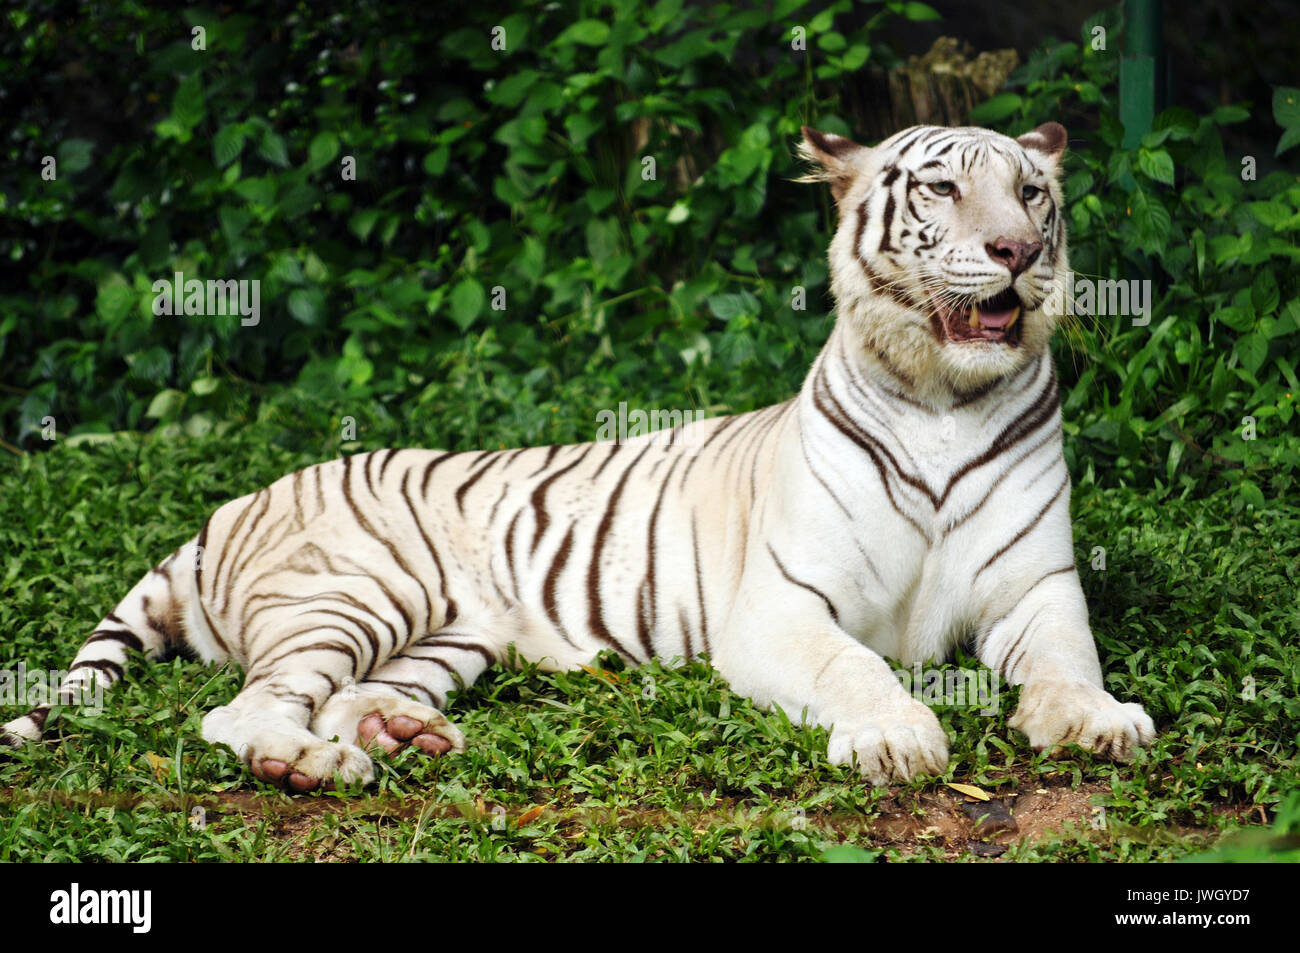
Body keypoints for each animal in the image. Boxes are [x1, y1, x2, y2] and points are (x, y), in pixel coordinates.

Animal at [4, 121, 1155, 791]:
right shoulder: (782, 606)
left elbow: (1069, 660)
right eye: (941, 192)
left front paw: (1099, 722)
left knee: (340, 694)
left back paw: (402, 739)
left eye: (1033, 193)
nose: (1017, 251)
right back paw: (313, 765)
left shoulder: (1038, 586)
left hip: (440, 637)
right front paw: (897, 738)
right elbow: (856, 665)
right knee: (244, 709)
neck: (939, 399)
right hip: (351, 591)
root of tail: (227, 507)